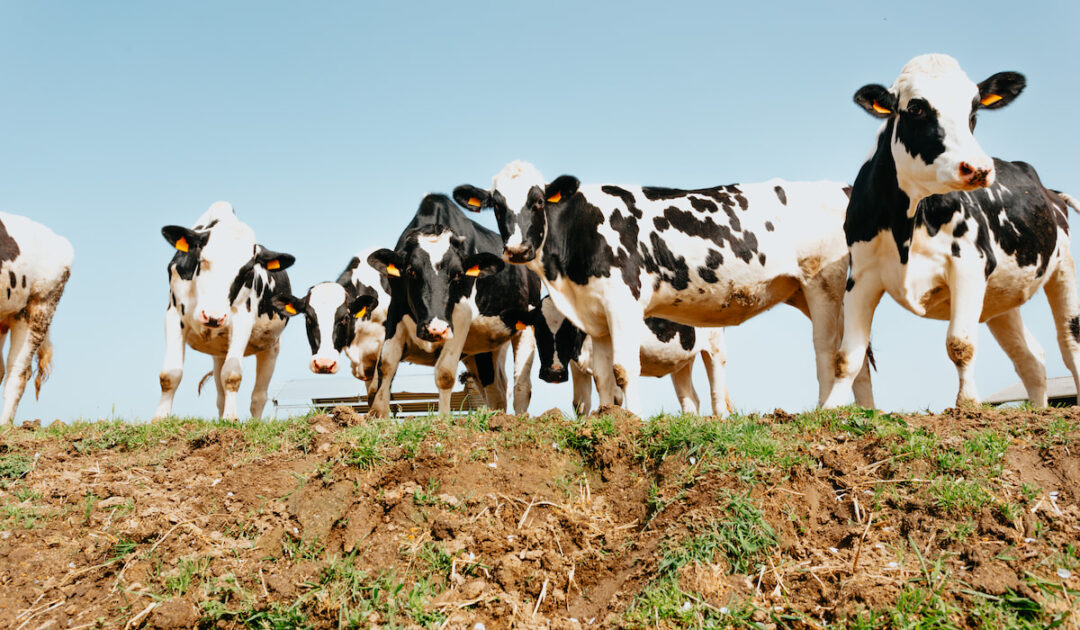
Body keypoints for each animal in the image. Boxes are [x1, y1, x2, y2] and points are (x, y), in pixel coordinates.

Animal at [154, 201, 296, 420]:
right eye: (202, 259)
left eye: (247, 270)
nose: (214, 316)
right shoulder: (174, 314)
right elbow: (170, 373)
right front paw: (160, 417)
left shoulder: (242, 320)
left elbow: (232, 374)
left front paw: (231, 418)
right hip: (219, 352)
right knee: (220, 396)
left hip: (271, 347)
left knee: (259, 396)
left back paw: (254, 422)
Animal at [367, 193, 541, 417]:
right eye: (411, 271)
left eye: (458, 274)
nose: (436, 329)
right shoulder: (396, 310)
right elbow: (386, 365)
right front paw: (378, 416)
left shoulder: (460, 318)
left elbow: (445, 373)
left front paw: (443, 418)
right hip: (483, 345)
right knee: (495, 389)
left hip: (527, 322)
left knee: (521, 385)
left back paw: (519, 418)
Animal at [523, 296, 730, 416]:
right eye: (538, 327)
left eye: (568, 327)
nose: (554, 372)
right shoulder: (577, 366)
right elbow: (580, 403)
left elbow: (615, 395)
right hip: (681, 360)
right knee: (690, 401)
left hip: (715, 346)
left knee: (717, 395)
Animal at [823, 54, 1080, 408]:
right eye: (916, 108)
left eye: (974, 110)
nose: (979, 168)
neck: (906, 223)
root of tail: (1049, 191)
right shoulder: (861, 276)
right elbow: (847, 357)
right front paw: (828, 408)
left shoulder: (970, 265)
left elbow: (960, 343)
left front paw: (967, 405)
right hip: (1000, 298)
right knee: (1030, 358)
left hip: (1062, 267)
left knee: (1070, 342)